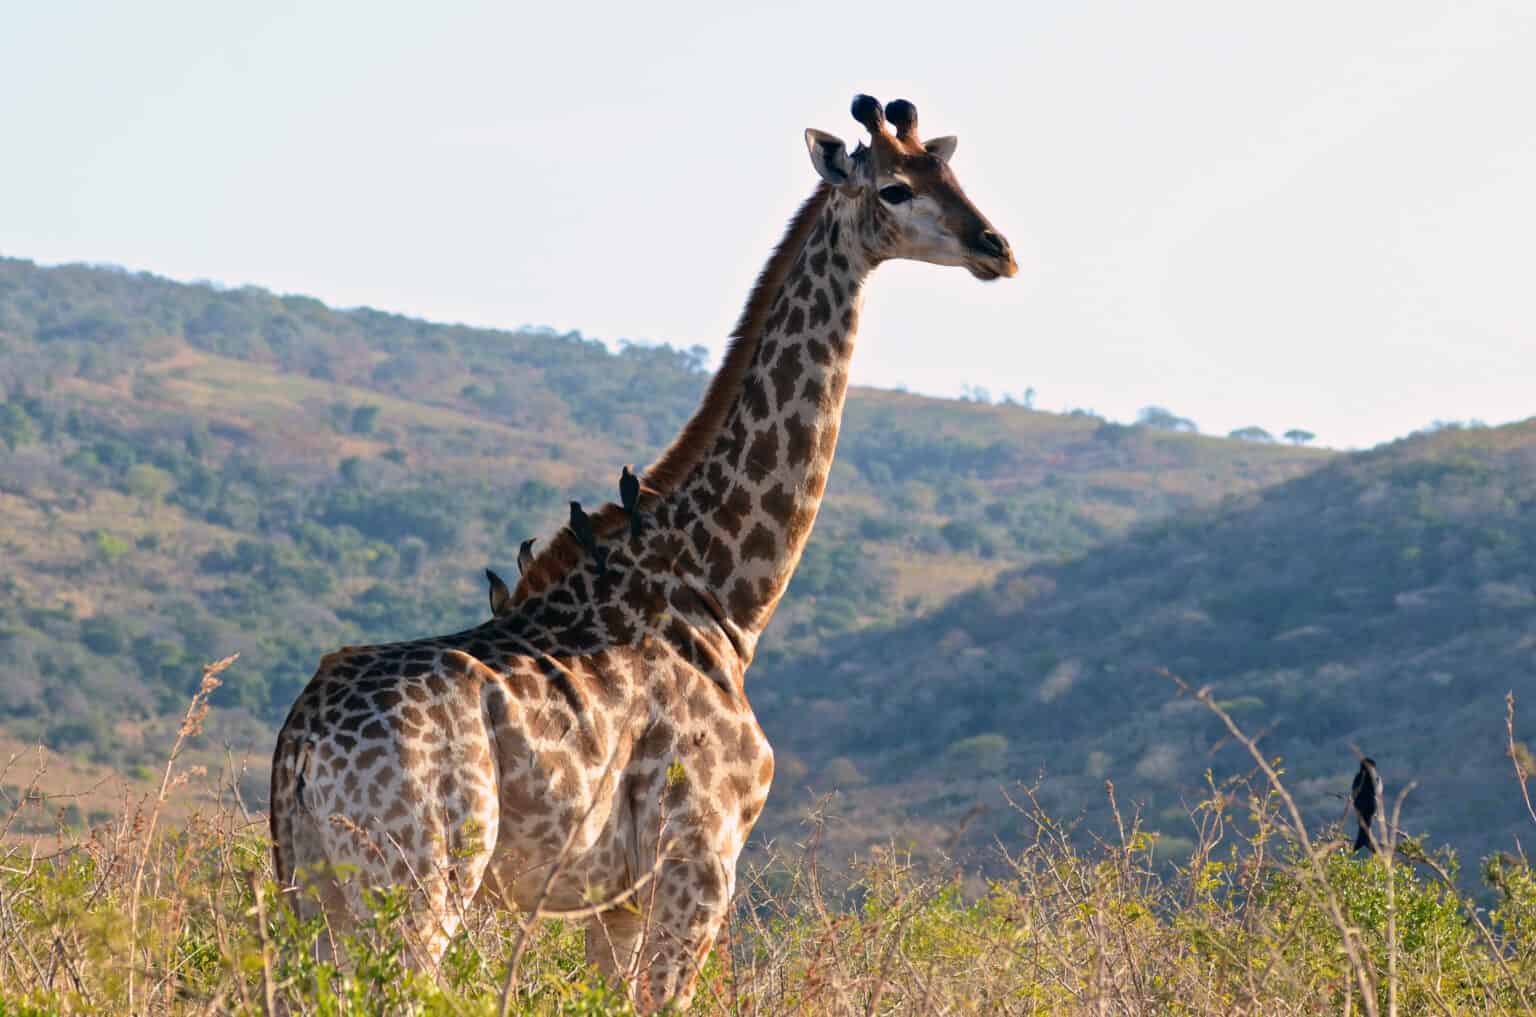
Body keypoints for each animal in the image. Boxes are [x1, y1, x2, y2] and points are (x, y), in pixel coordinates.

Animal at [269, 93, 1016, 1013]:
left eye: (950, 171)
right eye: (895, 187)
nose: (997, 248)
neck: (724, 593)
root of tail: (301, 740)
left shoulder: (614, 898)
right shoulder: (699, 858)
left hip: (314, 892)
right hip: (422, 880)